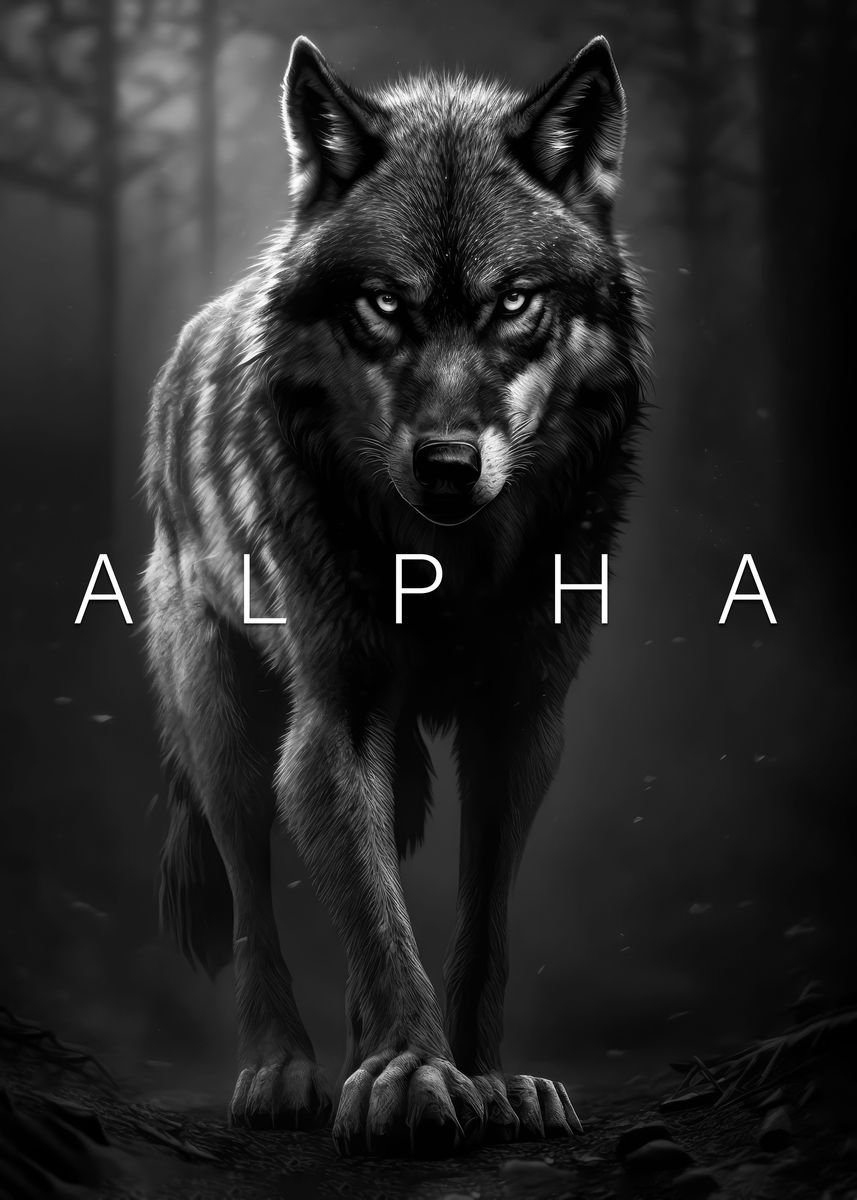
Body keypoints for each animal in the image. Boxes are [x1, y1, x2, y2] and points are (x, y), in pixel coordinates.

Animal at [142, 33, 650, 1156]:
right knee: (255, 900)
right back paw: (283, 1071)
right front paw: (416, 1077)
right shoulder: (334, 719)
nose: (449, 464)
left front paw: (482, 1079)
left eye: (515, 300)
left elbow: (476, 926)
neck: (445, 572)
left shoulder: (521, 723)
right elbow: (378, 921)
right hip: (226, 728)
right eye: (384, 302)